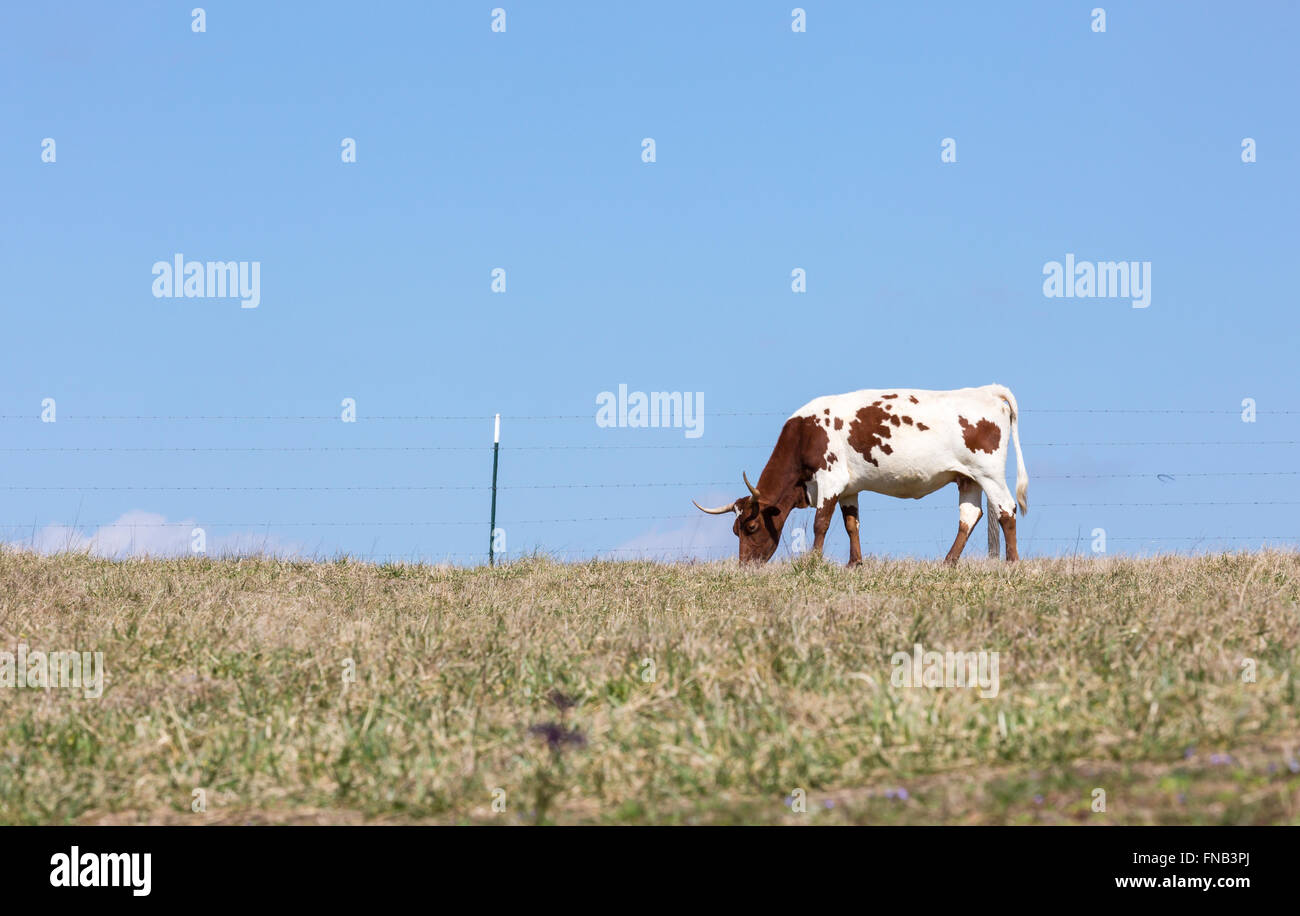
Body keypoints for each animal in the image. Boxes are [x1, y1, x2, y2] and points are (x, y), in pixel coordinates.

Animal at [692, 384, 1028, 566]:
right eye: (734, 530)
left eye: (751, 526)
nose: (744, 566)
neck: (804, 434)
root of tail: (985, 391)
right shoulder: (849, 487)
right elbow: (851, 524)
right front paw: (854, 563)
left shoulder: (830, 478)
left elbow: (821, 523)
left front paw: (814, 561)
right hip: (968, 477)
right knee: (969, 517)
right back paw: (948, 563)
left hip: (989, 473)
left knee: (1006, 509)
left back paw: (1011, 561)